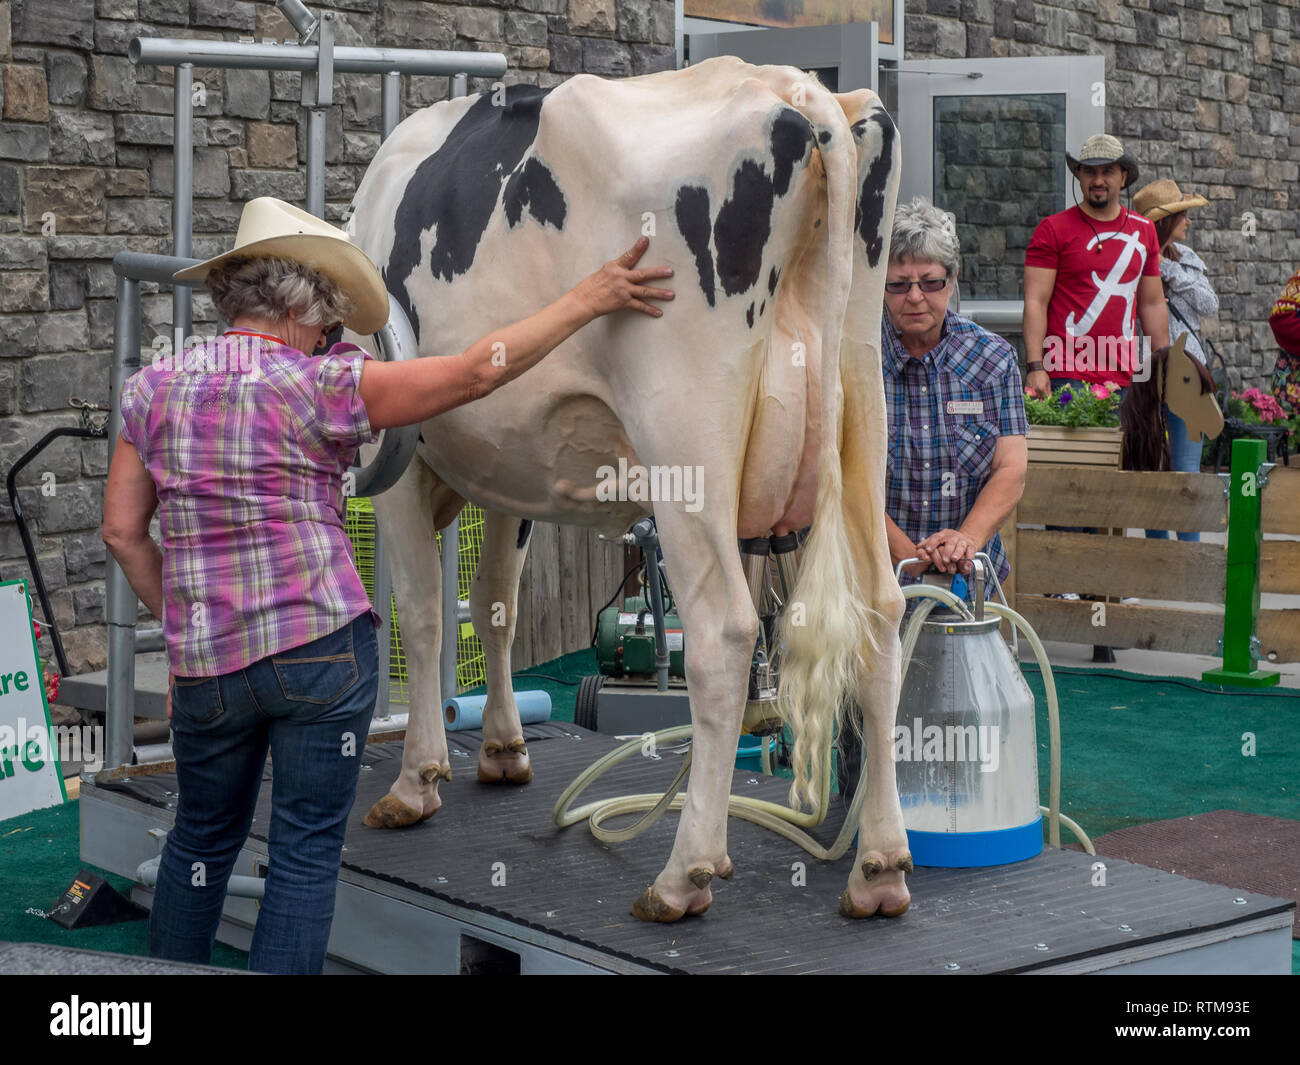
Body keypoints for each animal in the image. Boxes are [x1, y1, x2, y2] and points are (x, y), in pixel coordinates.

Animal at [344, 56, 911, 922]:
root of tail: (796, 91)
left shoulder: (404, 463)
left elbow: (426, 610)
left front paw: (416, 782)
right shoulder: (509, 465)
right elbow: (498, 601)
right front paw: (503, 748)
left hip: (686, 436)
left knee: (724, 631)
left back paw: (684, 873)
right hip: (862, 410)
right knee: (880, 611)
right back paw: (879, 867)